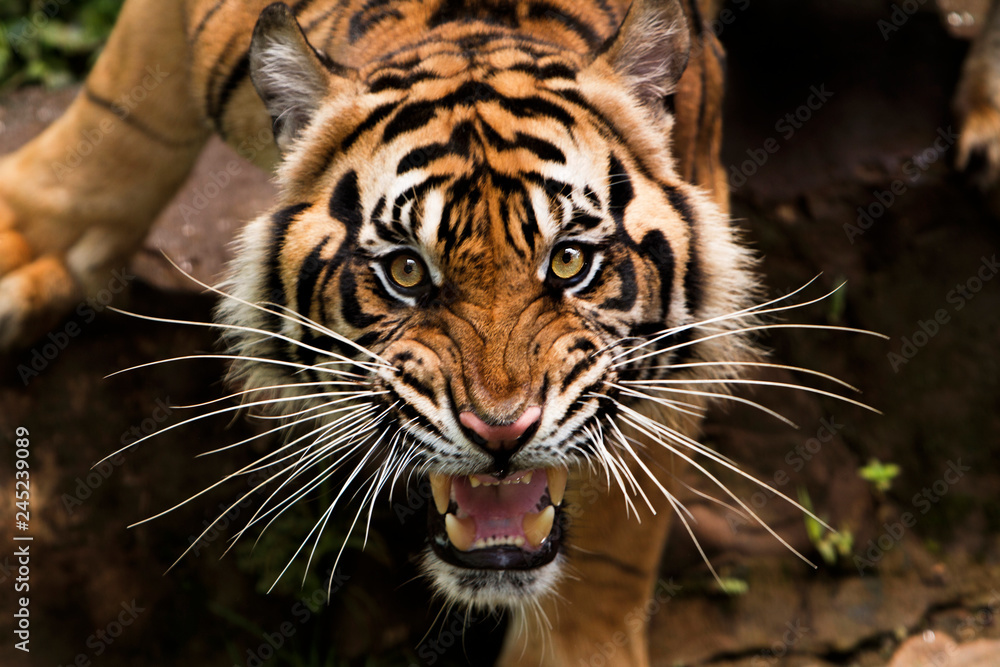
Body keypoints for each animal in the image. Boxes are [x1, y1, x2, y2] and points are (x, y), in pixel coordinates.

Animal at [0, 0, 829, 665]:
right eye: (405, 270)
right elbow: (123, 112)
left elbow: (623, 524)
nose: (503, 431)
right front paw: (25, 248)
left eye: (569, 261)